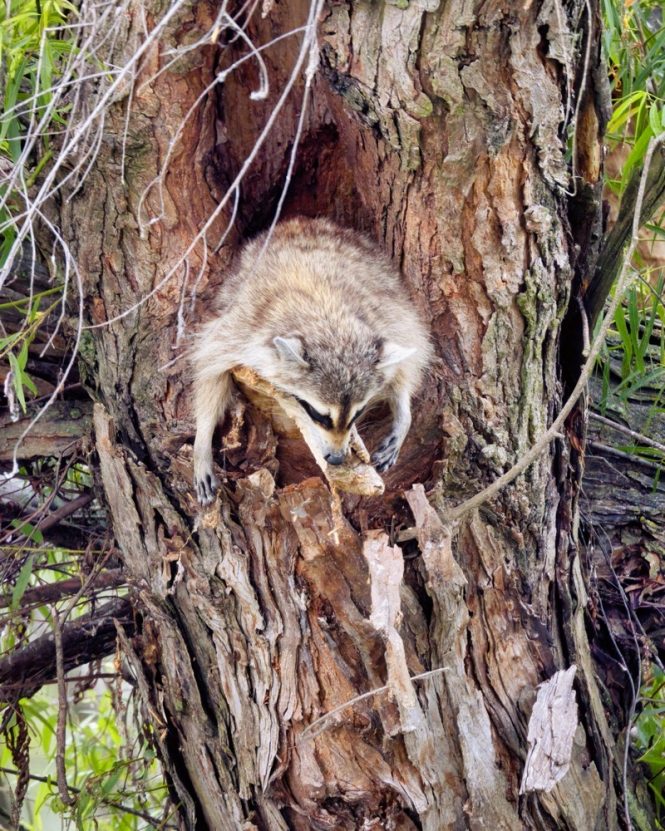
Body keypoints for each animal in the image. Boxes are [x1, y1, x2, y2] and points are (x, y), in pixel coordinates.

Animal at [192, 217, 432, 505]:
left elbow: (410, 357)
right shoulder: (238, 328)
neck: (328, 319)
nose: (337, 458)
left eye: (358, 413)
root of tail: (299, 221)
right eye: (319, 415)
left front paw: (403, 413)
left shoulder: (388, 315)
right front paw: (202, 441)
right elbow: (210, 373)